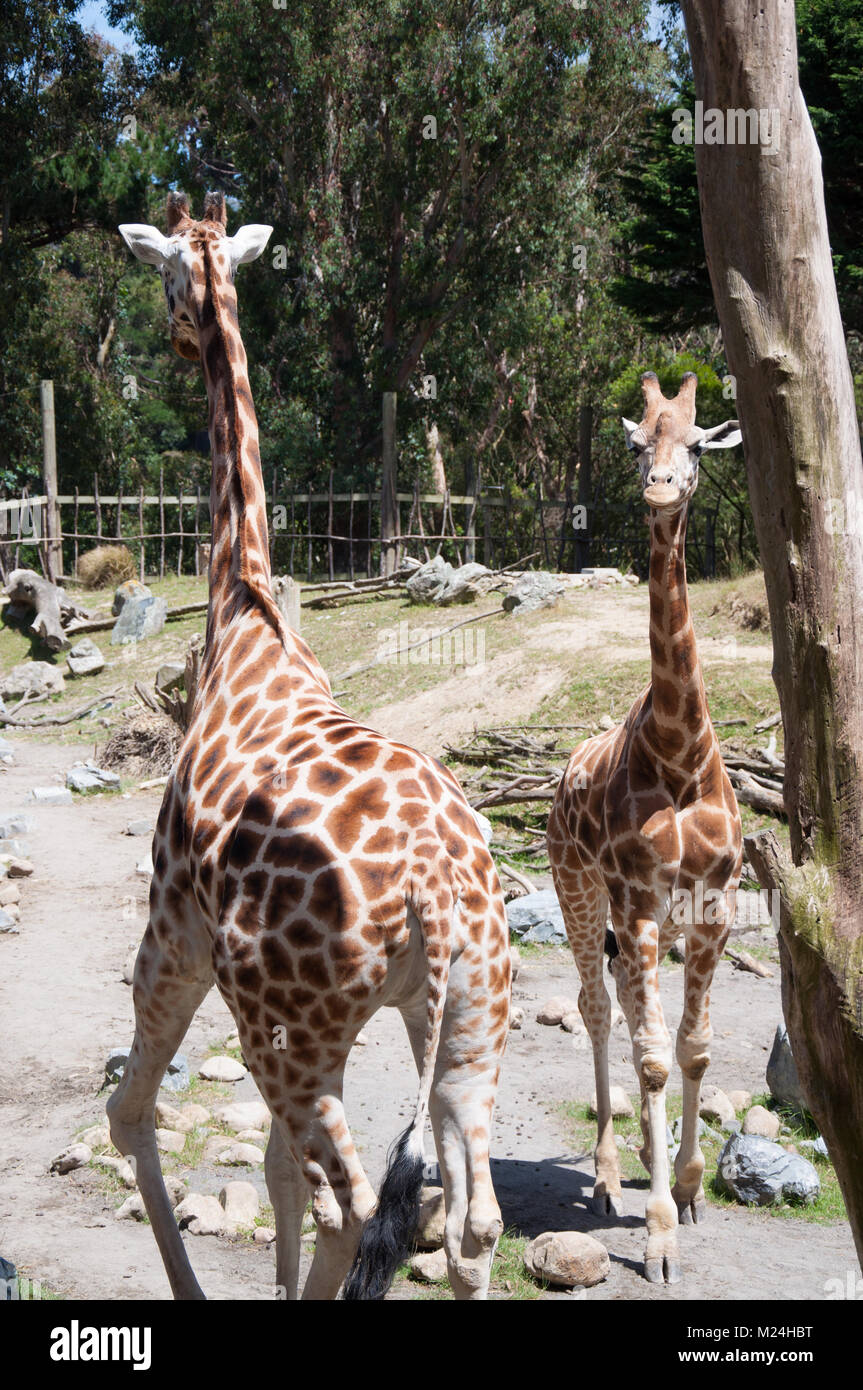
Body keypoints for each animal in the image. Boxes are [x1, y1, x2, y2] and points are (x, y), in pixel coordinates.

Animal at [111, 193, 511, 1301]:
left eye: (159, 274)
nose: (176, 334)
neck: (241, 612)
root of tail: (435, 891)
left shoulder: (171, 927)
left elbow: (135, 1114)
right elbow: (271, 1167)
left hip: (293, 1027)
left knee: (348, 1199)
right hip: (466, 1016)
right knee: (472, 1218)